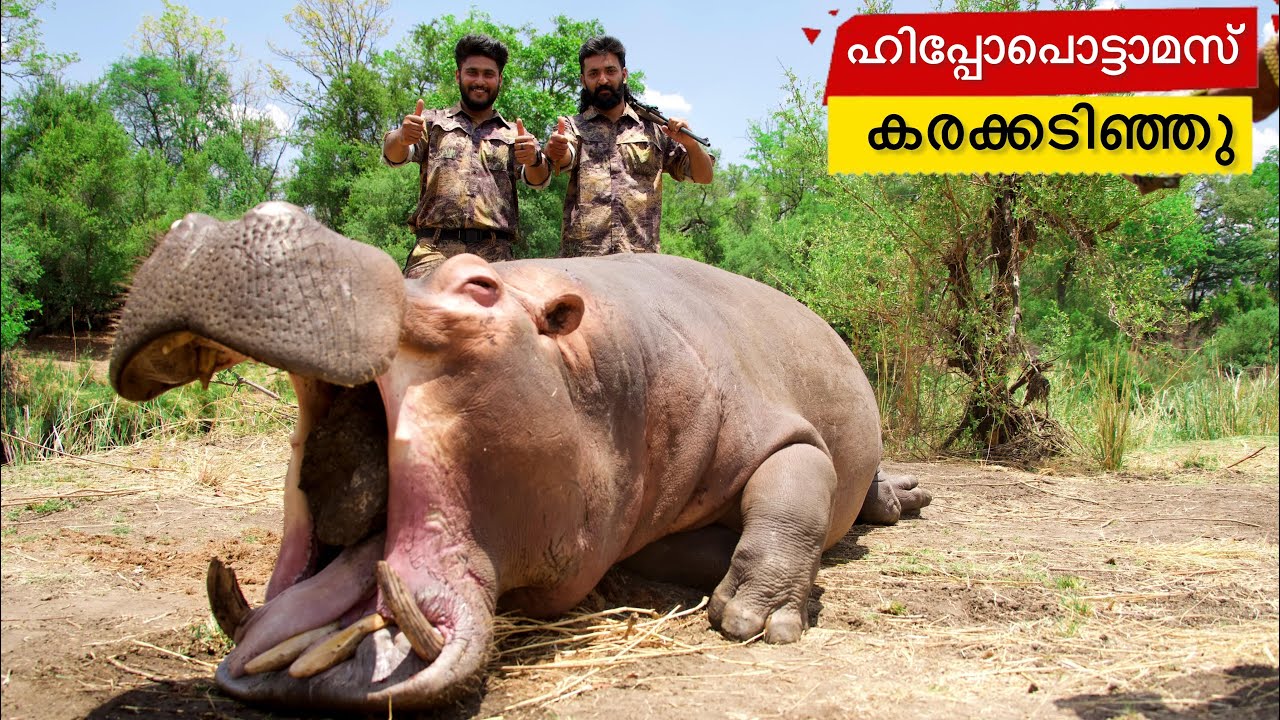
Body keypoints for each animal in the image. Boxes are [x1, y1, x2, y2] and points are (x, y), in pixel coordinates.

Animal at [108, 202, 930, 712]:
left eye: (478, 282)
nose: (233, 221)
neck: (591, 363)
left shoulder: (776, 427)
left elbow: (794, 486)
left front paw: (755, 619)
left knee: (852, 487)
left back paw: (906, 498)